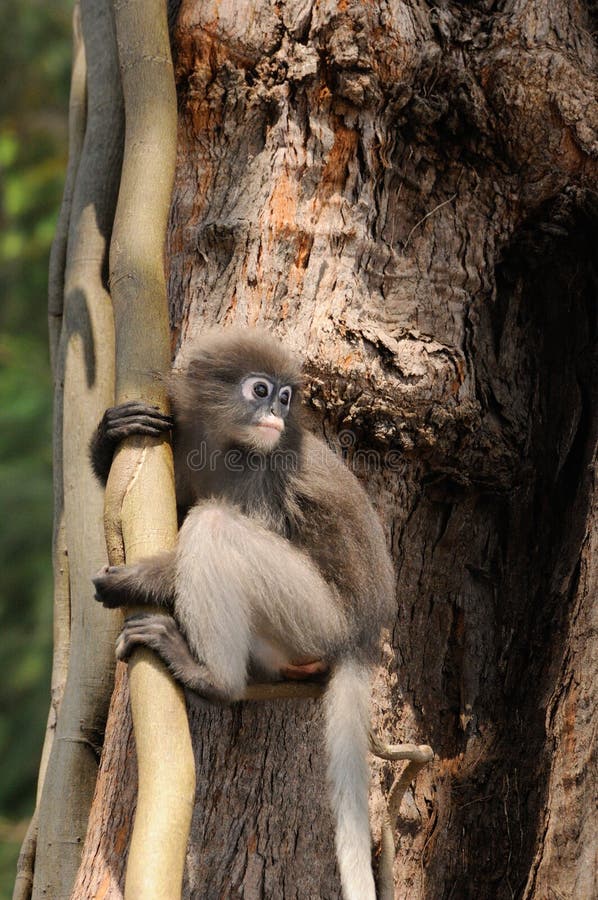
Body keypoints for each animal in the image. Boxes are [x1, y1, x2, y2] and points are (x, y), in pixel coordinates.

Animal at [90, 329, 395, 900]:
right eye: (261, 390)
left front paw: (142, 579)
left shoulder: (265, 473)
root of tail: (362, 636)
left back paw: (212, 679)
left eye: (285, 396)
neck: (226, 444)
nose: (277, 411)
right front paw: (109, 434)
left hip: (315, 616)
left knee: (213, 526)